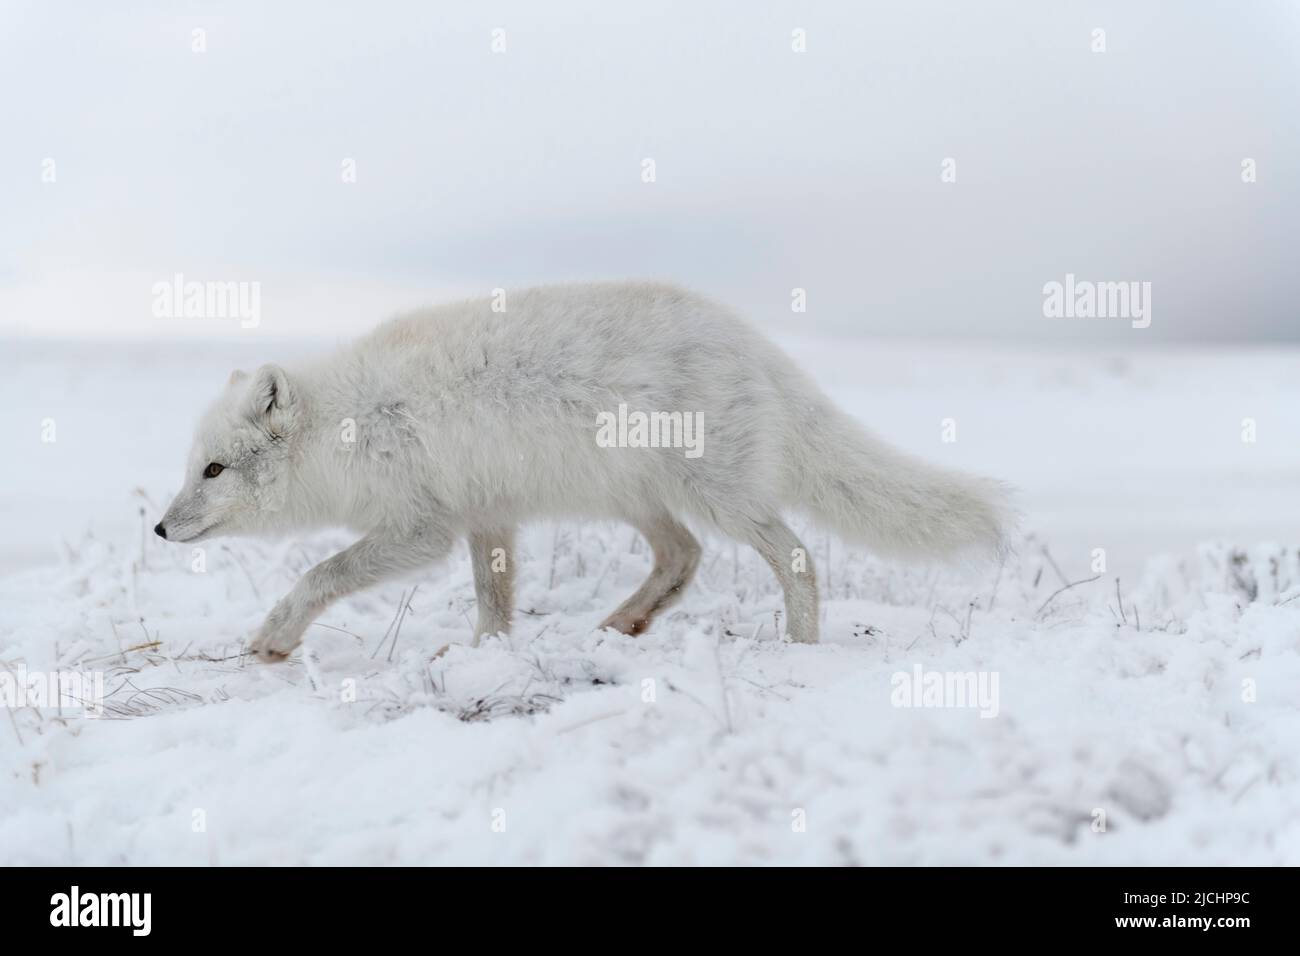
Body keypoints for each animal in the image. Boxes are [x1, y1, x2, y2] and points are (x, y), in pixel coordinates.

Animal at [156, 281, 1012, 661]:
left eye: (214, 469)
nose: (161, 528)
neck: (351, 423)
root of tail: (753, 341)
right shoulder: (485, 515)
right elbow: (494, 601)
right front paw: (484, 656)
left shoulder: (421, 529)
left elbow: (319, 575)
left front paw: (273, 639)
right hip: (640, 498)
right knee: (683, 558)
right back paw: (619, 627)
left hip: (717, 495)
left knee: (795, 558)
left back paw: (800, 647)